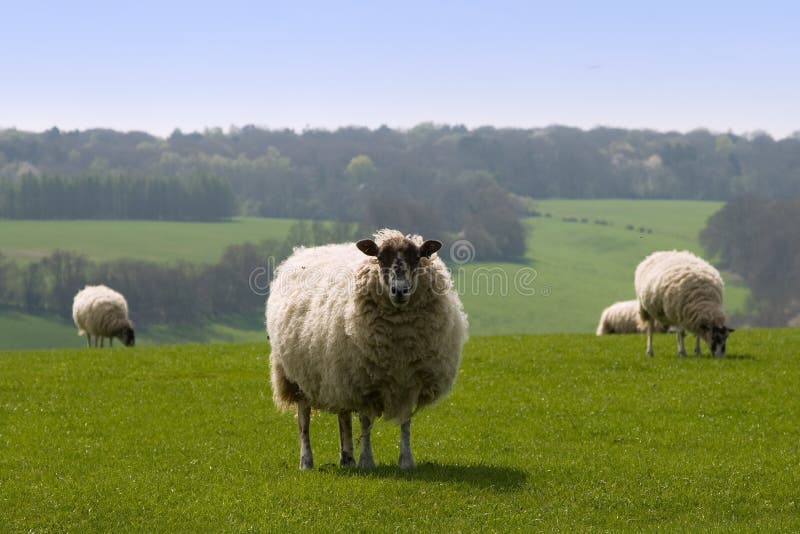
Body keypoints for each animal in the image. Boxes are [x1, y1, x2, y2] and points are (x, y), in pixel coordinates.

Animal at [266, 229, 468, 470]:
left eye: (417, 257)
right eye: (380, 258)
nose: (400, 290)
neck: (398, 341)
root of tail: (302, 252)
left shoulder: (410, 380)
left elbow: (406, 421)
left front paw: (406, 461)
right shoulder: (363, 380)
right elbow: (365, 421)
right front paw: (367, 461)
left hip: (337, 373)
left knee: (343, 416)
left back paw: (347, 459)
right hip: (297, 375)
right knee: (303, 417)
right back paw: (307, 461)